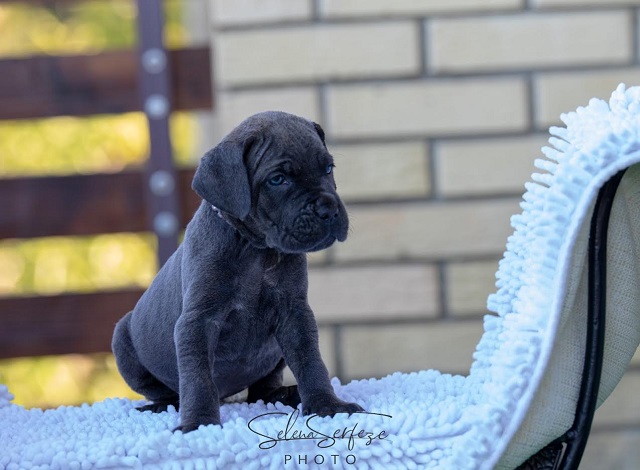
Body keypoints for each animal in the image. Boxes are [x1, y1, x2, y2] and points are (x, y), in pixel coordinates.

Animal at [112, 111, 362, 434]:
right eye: (277, 180)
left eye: (328, 168)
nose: (328, 210)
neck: (256, 250)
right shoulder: (198, 321)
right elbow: (198, 378)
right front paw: (198, 423)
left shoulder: (294, 313)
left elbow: (310, 361)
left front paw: (326, 404)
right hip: (123, 338)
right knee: (166, 390)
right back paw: (162, 405)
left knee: (262, 388)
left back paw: (283, 393)